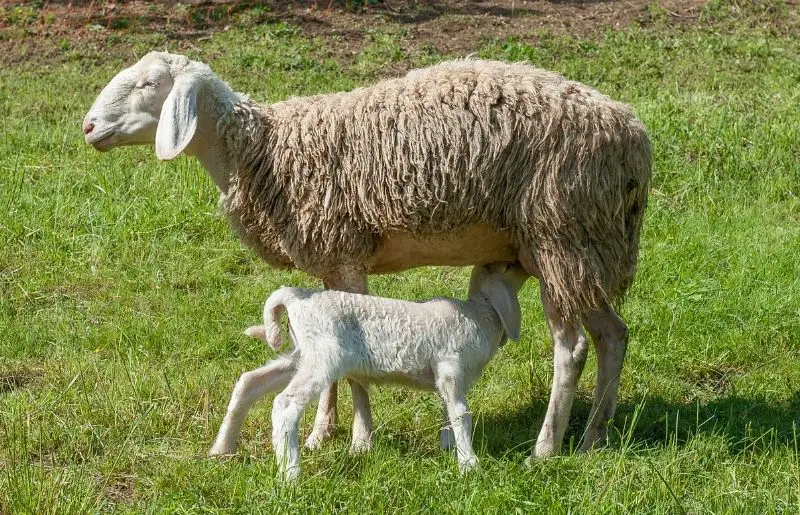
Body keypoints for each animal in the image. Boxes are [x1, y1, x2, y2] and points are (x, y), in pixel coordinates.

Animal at [209, 262, 529, 479]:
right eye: (505, 267)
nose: (522, 263)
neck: (480, 316)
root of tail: (294, 297)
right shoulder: (450, 368)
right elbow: (462, 415)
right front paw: (470, 465)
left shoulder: (447, 379)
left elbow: (448, 412)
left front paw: (449, 448)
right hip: (323, 356)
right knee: (285, 404)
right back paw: (290, 474)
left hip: (301, 355)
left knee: (249, 382)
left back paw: (222, 449)